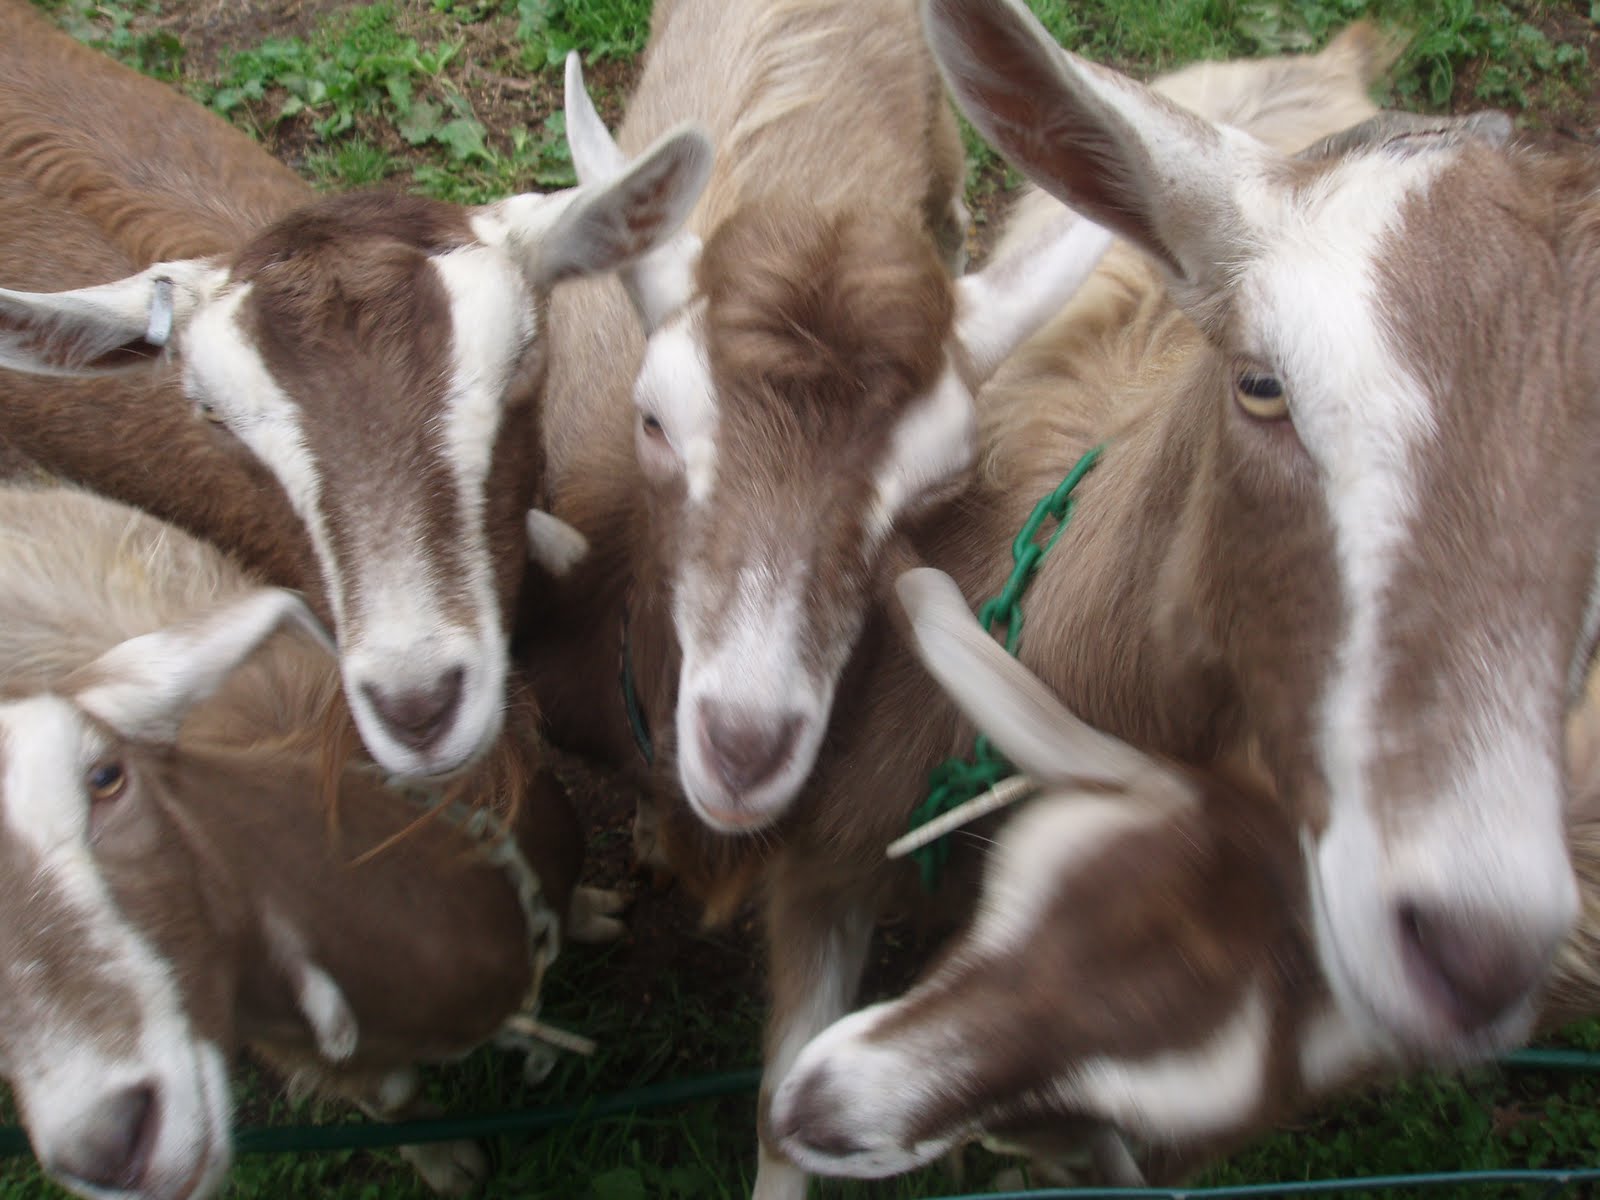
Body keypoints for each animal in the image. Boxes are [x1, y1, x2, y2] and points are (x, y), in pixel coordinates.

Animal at [0, 484, 613, 1200]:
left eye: (104, 775)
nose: (111, 1141)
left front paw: (594, 912)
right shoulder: (317, 1048)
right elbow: (393, 1101)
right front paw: (448, 1163)